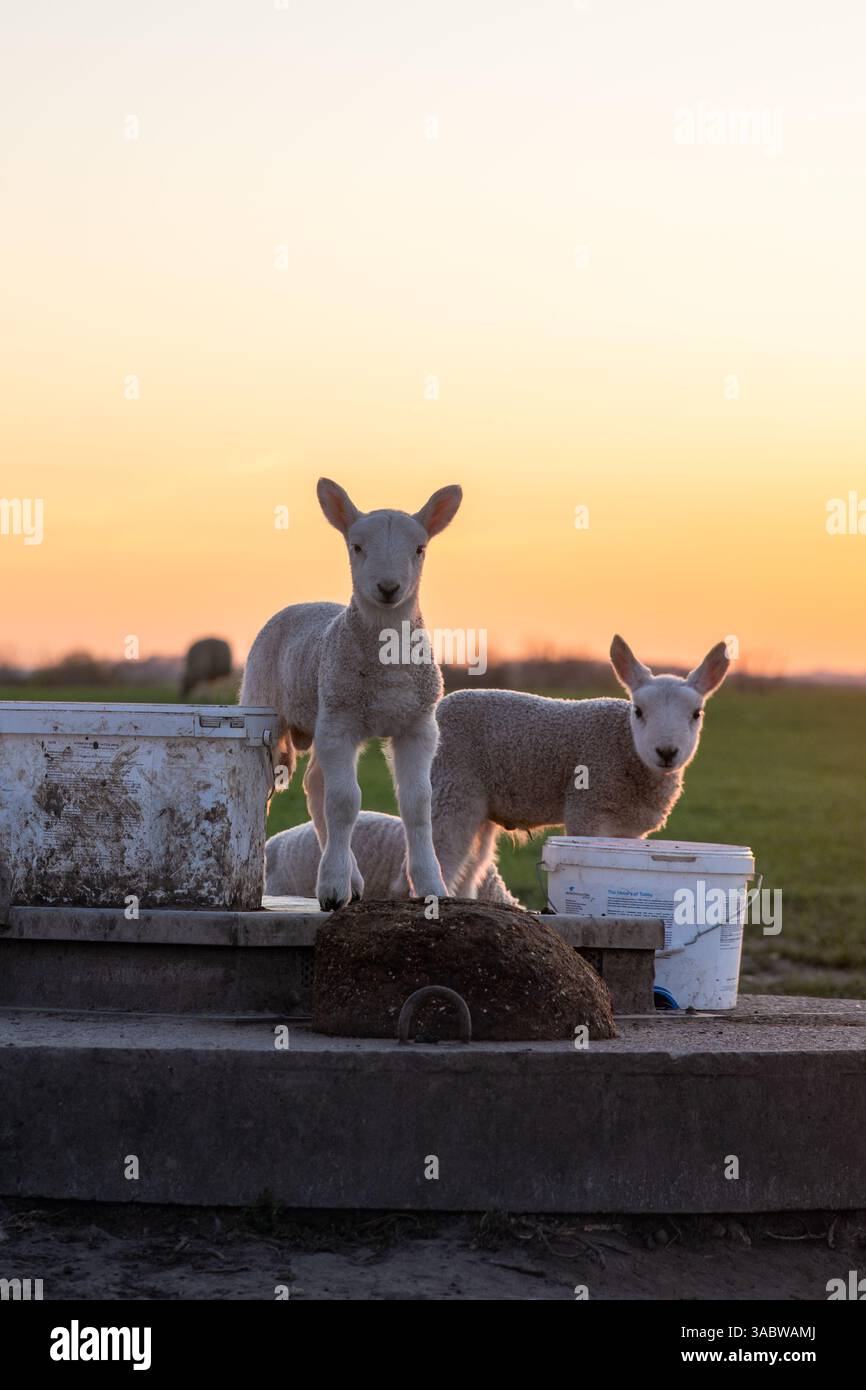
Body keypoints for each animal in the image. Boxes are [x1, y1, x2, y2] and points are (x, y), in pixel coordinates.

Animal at [240, 477, 462, 910]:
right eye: (356, 546)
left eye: (420, 548)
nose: (388, 588)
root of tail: (303, 604)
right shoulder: (341, 722)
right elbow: (345, 803)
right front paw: (332, 890)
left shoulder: (418, 726)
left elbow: (417, 804)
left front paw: (431, 886)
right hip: (266, 701)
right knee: (269, 792)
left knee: (315, 786)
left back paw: (353, 879)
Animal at [392, 635, 731, 897]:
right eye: (638, 711)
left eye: (697, 714)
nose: (666, 752)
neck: (625, 747)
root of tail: (441, 706)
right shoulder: (588, 809)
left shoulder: (630, 830)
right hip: (451, 789)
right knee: (442, 853)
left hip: (477, 806)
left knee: (471, 866)